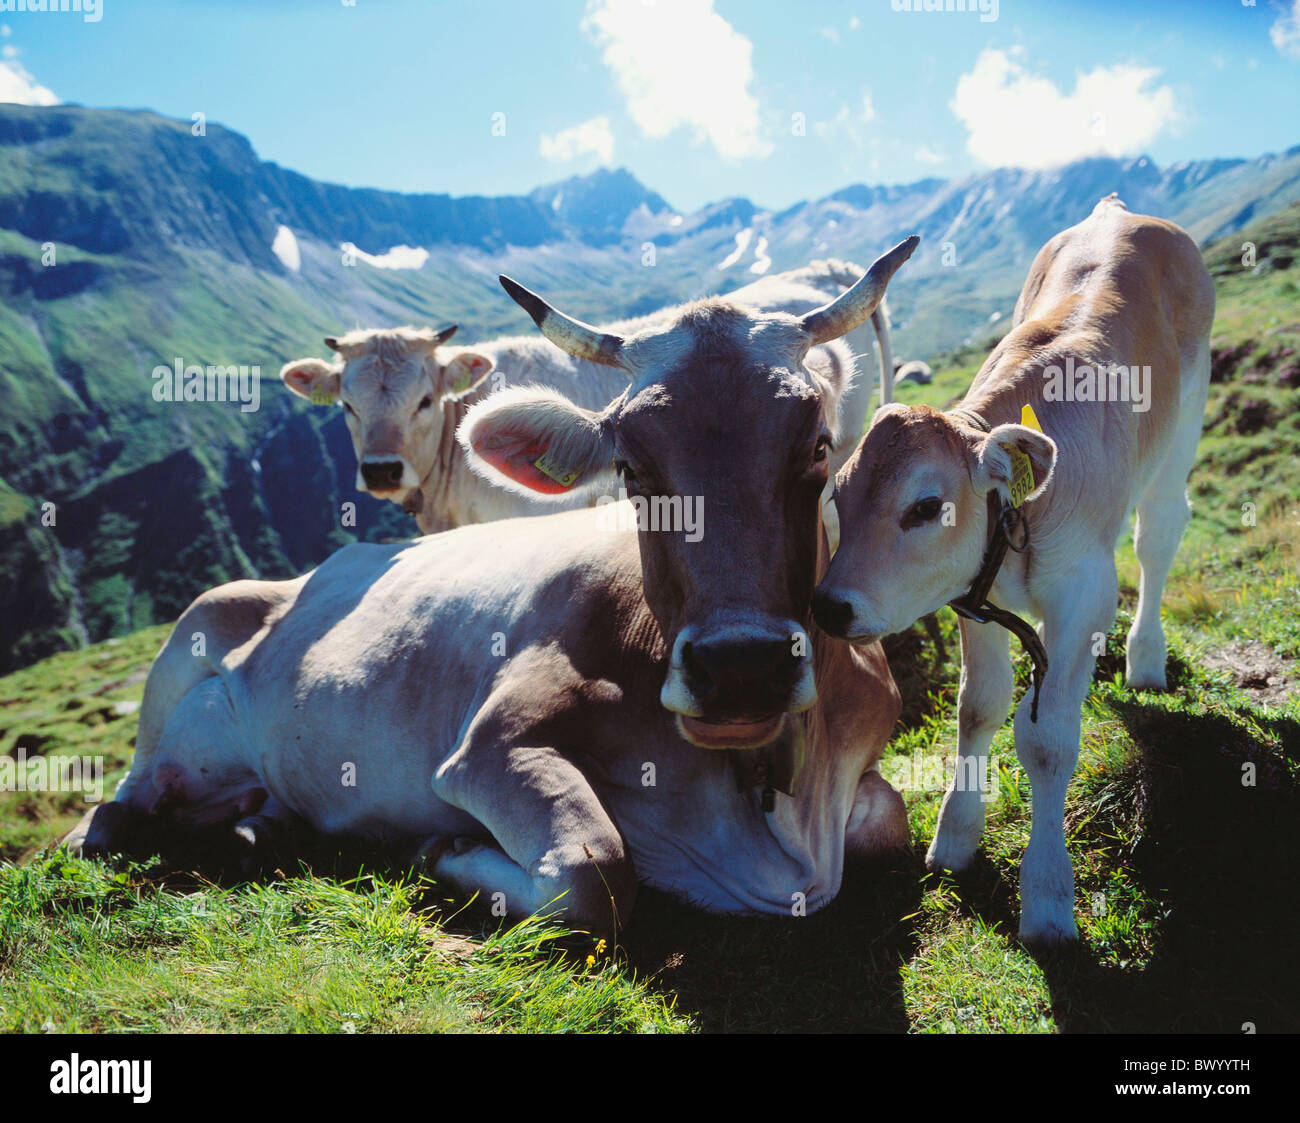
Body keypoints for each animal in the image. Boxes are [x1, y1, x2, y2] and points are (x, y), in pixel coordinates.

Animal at [810, 197, 1214, 944]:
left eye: (926, 506)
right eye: (839, 497)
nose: (829, 606)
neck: (1024, 510)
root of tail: (1118, 210)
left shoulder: (1083, 592)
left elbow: (1048, 742)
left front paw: (1049, 895)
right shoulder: (976, 599)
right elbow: (978, 707)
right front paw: (955, 837)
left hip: (1184, 426)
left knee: (1158, 533)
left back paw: (1144, 657)